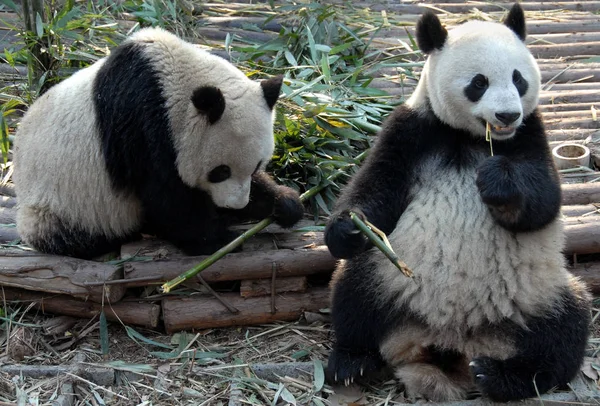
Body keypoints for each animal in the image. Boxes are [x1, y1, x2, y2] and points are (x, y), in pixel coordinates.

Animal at [14, 27, 304, 258]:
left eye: (256, 166)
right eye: (221, 171)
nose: (235, 205)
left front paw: (285, 203)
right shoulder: (142, 124)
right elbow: (166, 196)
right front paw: (220, 240)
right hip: (59, 203)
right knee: (67, 234)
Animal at [324, 3, 592, 402]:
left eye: (518, 79)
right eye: (479, 82)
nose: (507, 115)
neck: (471, 137)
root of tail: (452, 344)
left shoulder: (530, 132)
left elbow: (542, 200)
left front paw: (498, 180)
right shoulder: (412, 129)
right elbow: (378, 190)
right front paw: (349, 229)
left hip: (537, 293)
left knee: (565, 330)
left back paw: (500, 376)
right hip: (387, 276)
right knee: (352, 294)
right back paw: (350, 361)